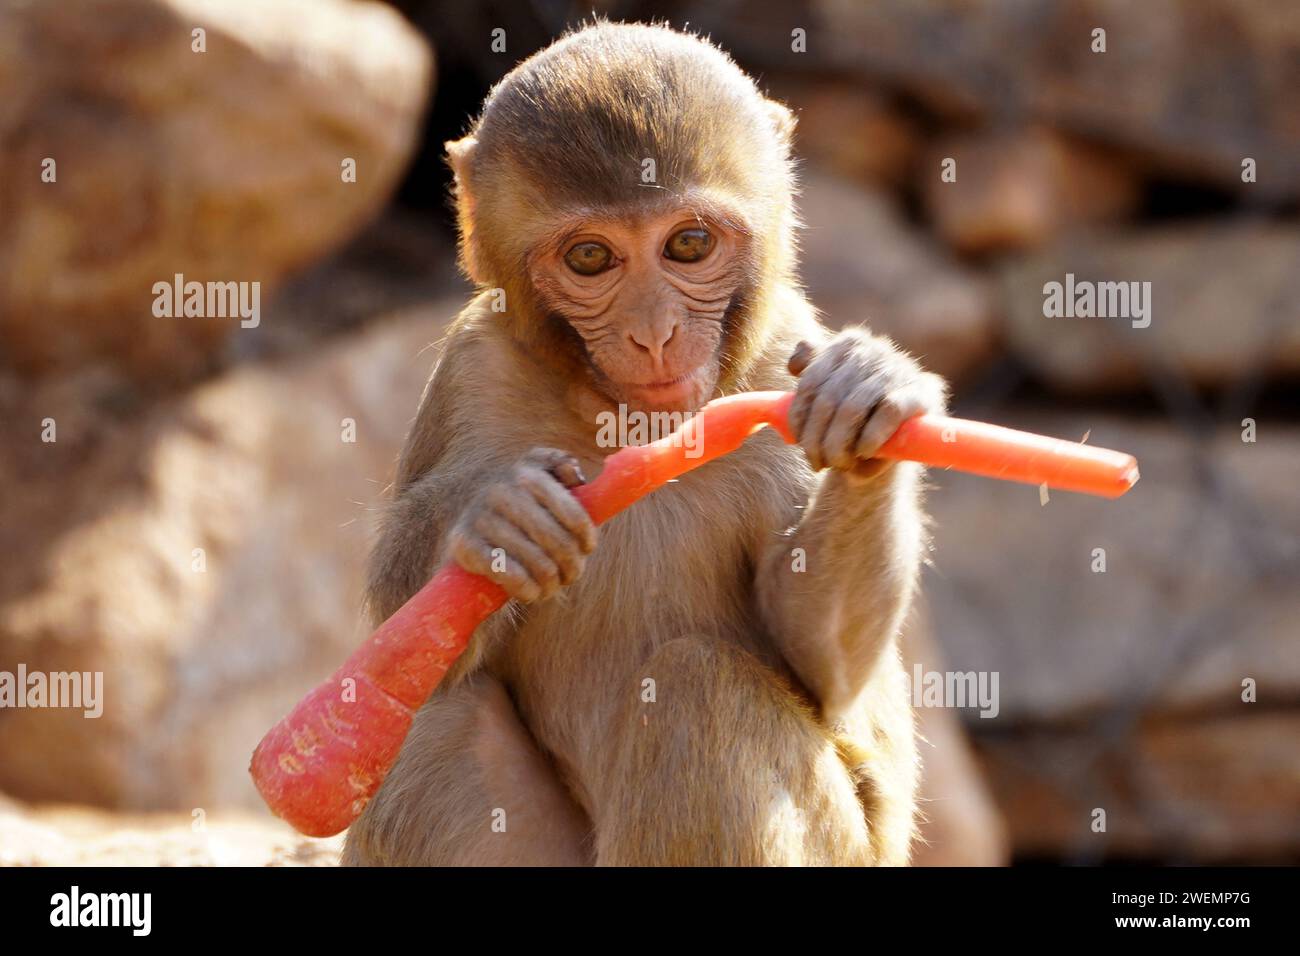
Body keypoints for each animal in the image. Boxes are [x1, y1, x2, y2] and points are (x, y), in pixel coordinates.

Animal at [342, 21, 946, 866]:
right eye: (591, 257)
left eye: (688, 245)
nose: (654, 334)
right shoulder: (475, 367)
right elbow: (408, 652)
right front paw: (497, 522)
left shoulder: (781, 359)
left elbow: (817, 657)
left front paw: (868, 406)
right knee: (437, 719)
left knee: (699, 688)